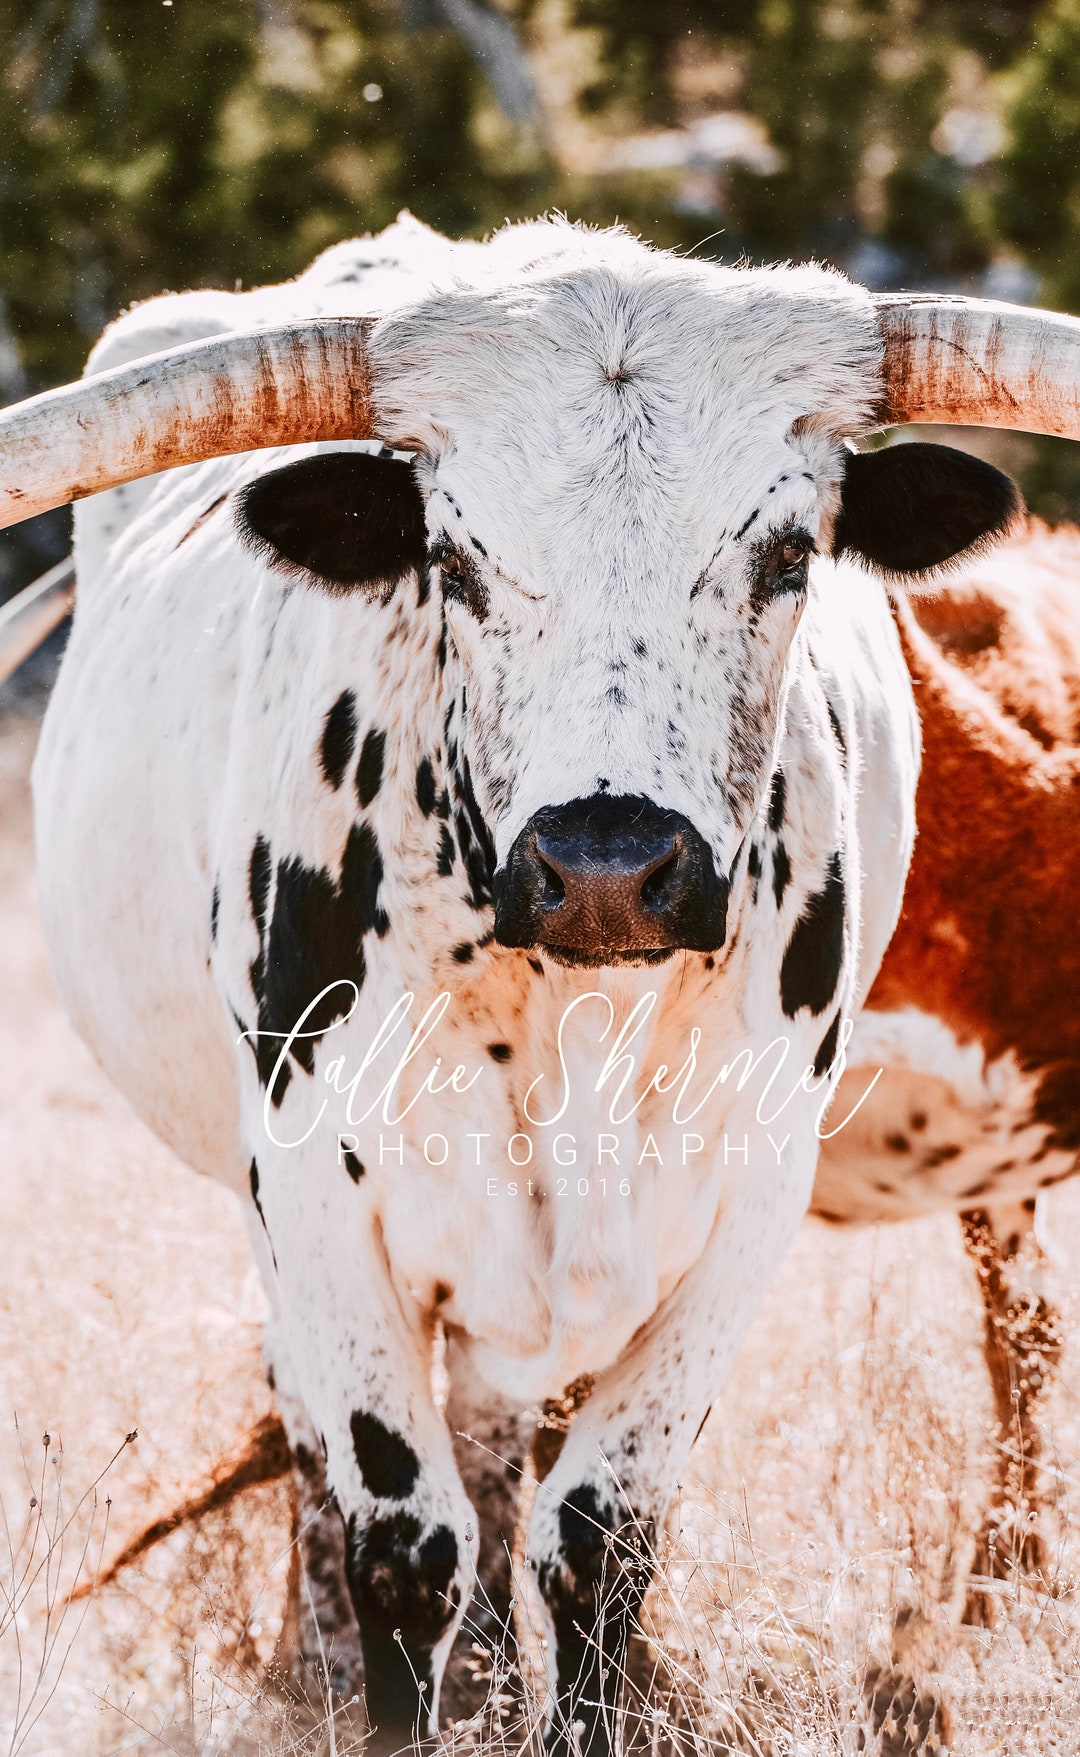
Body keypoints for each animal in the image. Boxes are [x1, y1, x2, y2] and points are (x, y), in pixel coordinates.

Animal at [1, 213, 1078, 1750]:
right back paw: (329, 1663)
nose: (610, 867)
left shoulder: (748, 1205)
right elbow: (405, 1540)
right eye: (455, 557)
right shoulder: (315, 1196)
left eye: (786, 552)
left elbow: (601, 1534)